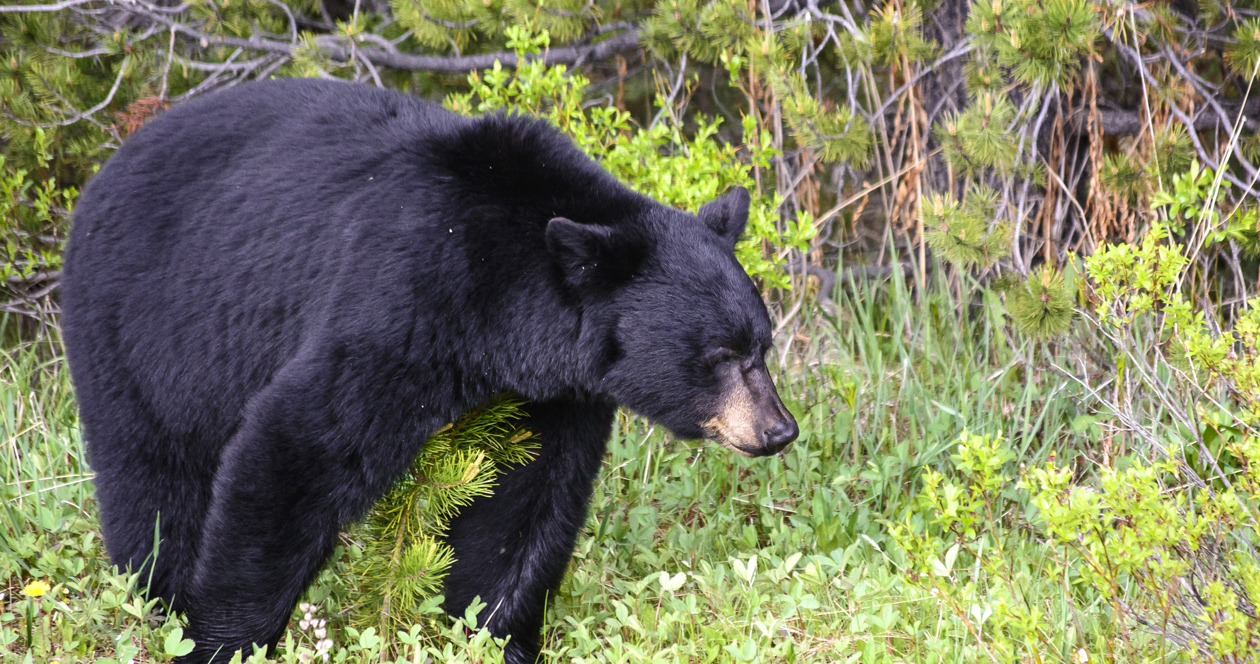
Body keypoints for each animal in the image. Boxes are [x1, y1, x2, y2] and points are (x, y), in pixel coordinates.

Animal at [61, 77, 798, 664]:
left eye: (761, 345)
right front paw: (220, 642)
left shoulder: (556, 393)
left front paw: (494, 637)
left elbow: (525, 510)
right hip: (140, 330)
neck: (502, 308)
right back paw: (158, 594)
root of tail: (102, 172)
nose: (778, 430)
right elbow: (296, 446)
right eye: (720, 355)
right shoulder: (403, 297)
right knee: (155, 481)